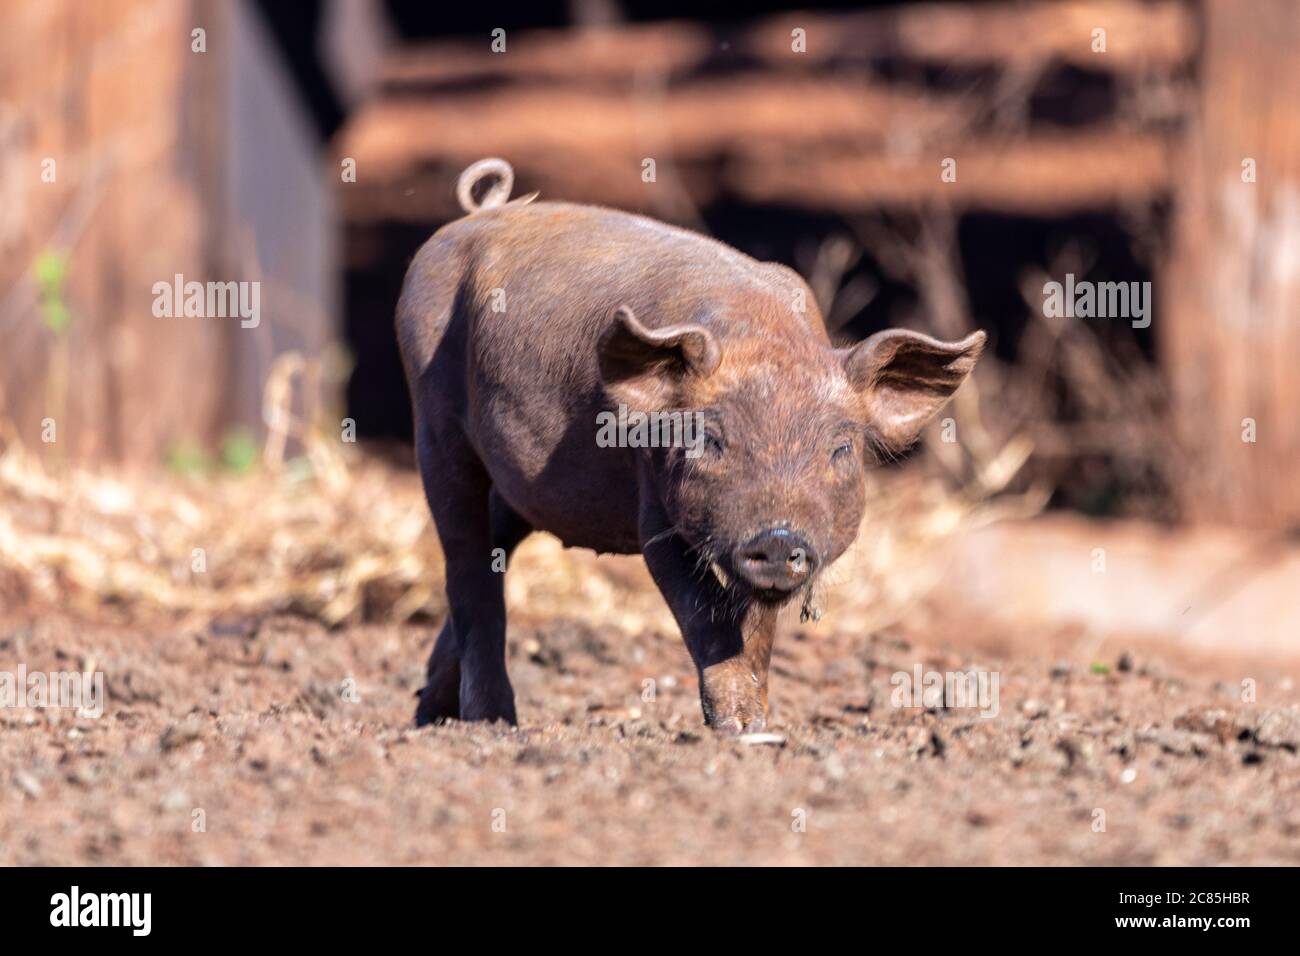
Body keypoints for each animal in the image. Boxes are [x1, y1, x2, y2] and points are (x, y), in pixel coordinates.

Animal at [397, 158, 985, 733]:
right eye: (709, 440)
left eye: (840, 450)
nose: (778, 537)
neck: (762, 339)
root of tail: (479, 213)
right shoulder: (654, 498)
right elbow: (701, 608)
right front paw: (737, 727)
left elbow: (758, 627)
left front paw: (761, 726)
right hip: (431, 415)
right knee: (466, 561)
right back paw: (491, 724)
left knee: (496, 540)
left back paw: (431, 714)